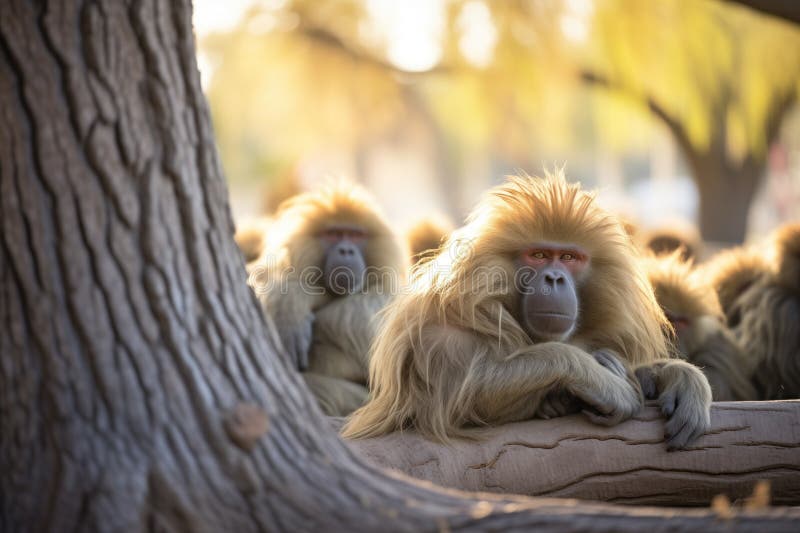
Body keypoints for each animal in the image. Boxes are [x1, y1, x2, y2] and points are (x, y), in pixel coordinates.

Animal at [342, 171, 712, 450]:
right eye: (538, 255)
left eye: (569, 258)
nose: (554, 278)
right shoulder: (442, 325)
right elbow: (460, 395)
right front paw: (602, 381)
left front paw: (675, 378)